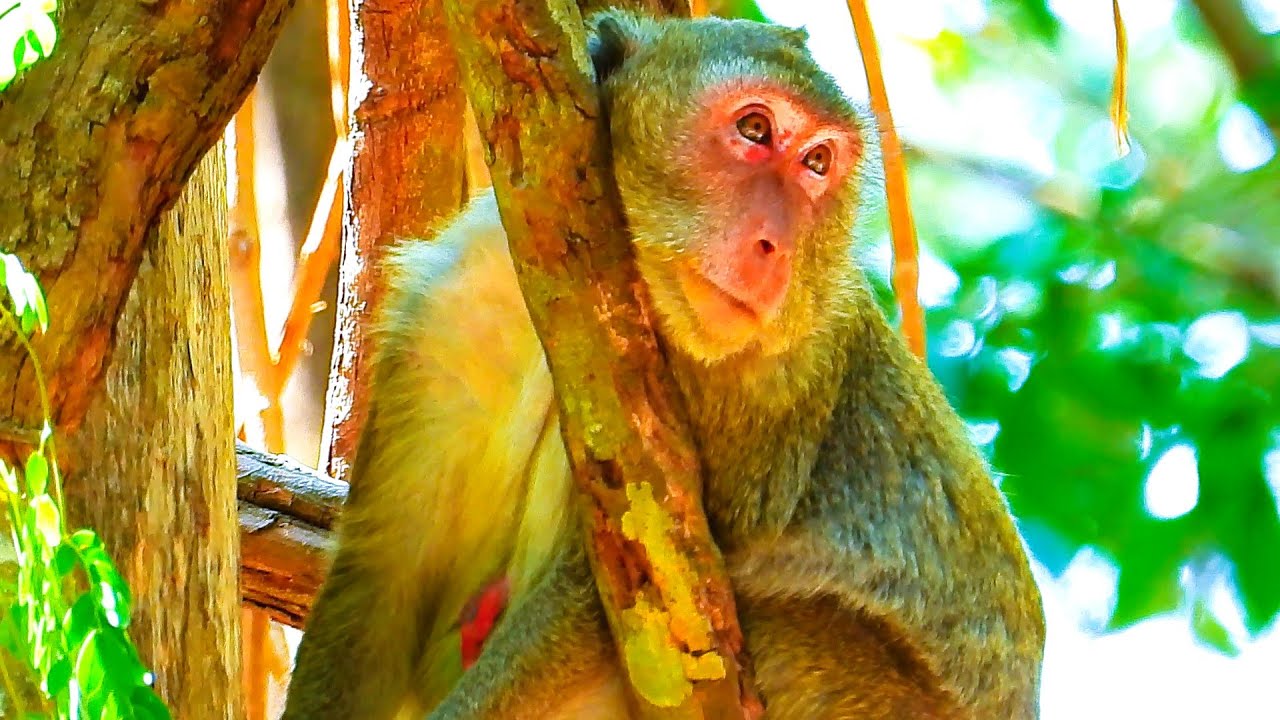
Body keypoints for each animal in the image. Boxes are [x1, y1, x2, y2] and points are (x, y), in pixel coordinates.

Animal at [283, 9, 1046, 720]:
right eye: (755, 129)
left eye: (817, 164)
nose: (776, 246)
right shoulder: (449, 308)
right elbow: (380, 574)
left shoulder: (731, 385)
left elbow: (633, 599)